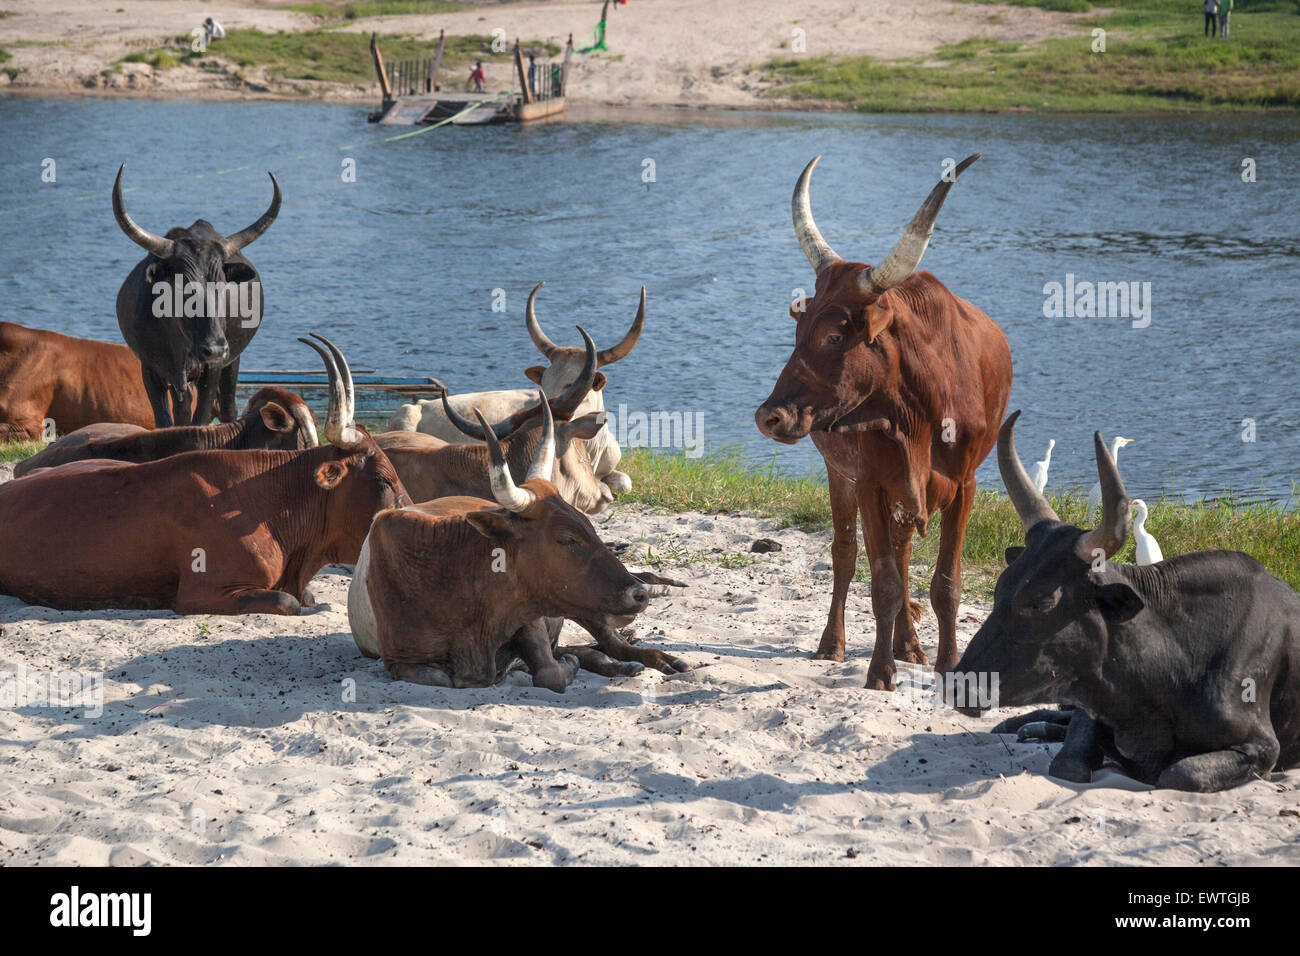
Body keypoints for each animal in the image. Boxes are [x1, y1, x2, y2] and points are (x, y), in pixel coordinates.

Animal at [113, 164, 280, 428]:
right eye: (185, 287)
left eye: (221, 285)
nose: (215, 348)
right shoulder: (150, 369)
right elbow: (164, 419)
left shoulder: (212, 370)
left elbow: (200, 416)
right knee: (182, 408)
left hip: (231, 361)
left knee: (228, 405)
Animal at [348, 401, 690, 692]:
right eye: (566, 539)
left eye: (590, 527)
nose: (639, 594)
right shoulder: (399, 662)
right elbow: (444, 678)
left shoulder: (531, 614)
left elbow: (550, 672)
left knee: (614, 644)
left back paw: (659, 660)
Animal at [755, 154, 1012, 691]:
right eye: (798, 330)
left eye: (834, 335)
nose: (769, 416)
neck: (922, 412)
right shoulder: (870, 481)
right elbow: (883, 582)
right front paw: (878, 673)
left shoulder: (964, 485)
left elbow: (946, 582)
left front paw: (948, 664)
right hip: (841, 475)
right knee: (846, 554)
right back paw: (834, 644)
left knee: (903, 548)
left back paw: (910, 645)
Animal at [950, 412, 1300, 792]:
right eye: (1000, 588)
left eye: (1041, 602)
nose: (958, 686)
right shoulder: (1094, 707)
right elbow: (1069, 761)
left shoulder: (1262, 746)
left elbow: (1177, 773)